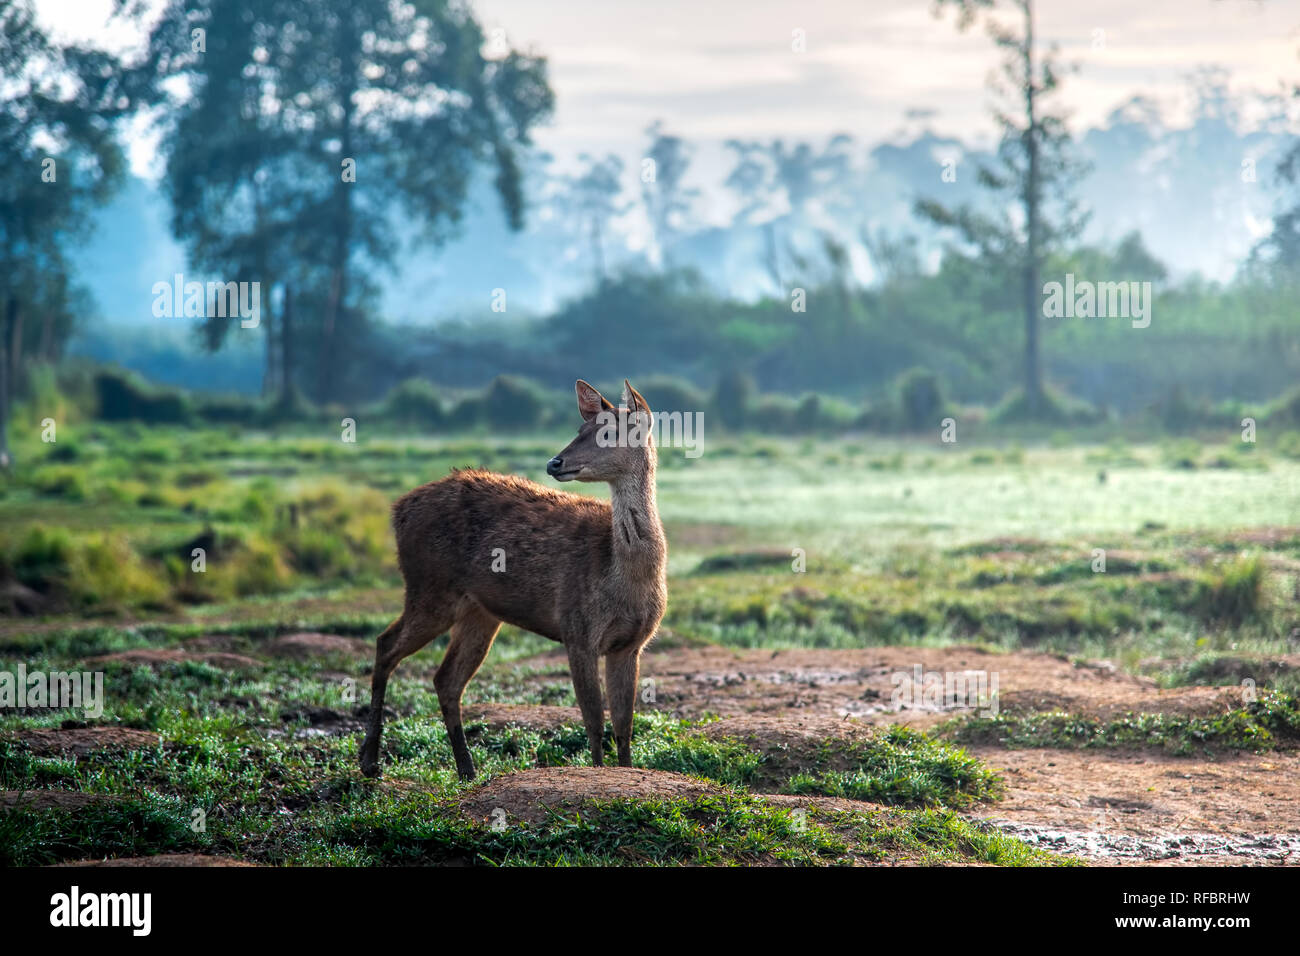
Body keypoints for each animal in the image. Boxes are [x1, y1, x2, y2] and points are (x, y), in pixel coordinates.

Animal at [359, 379, 667, 780]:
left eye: (609, 431)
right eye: (580, 427)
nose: (554, 462)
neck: (623, 575)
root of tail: (398, 511)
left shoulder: (631, 644)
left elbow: (624, 725)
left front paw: (625, 772)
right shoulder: (577, 629)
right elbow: (594, 721)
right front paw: (597, 774)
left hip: (479, 612)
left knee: (446, 679)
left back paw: (467, 771)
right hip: (428, 588)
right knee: (386, 644)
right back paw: (370, 761)